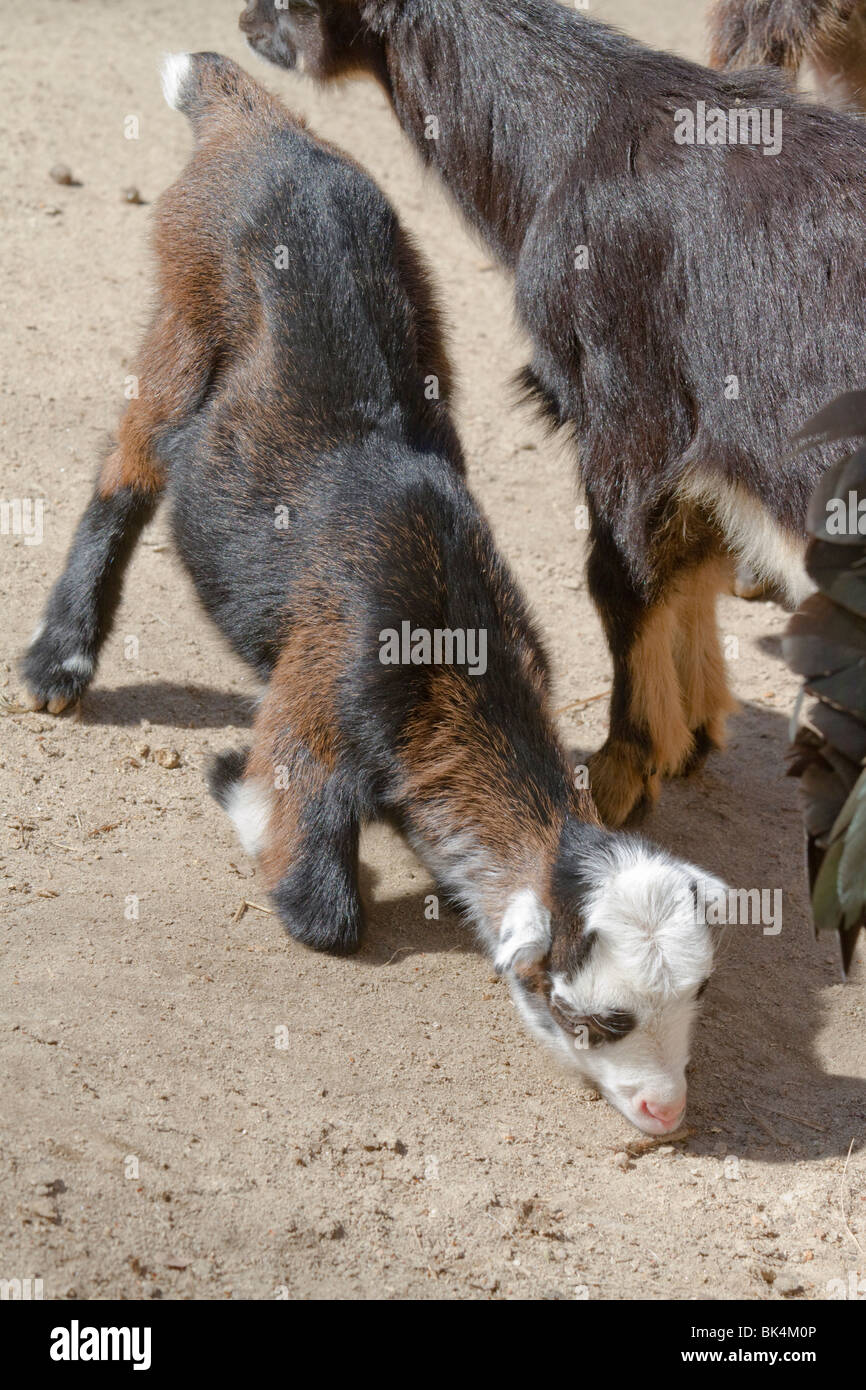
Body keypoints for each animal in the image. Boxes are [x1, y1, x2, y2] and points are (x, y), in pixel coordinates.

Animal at [21, 52, 723, 1134]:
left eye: (694, 997)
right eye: (598, 1017)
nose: (665, 1113)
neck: (444, 648)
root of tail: (258, 125)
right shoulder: (318, 701)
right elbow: (317, 900)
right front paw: (233, 790)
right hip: (178, 320)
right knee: (127, 467)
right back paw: (60, 657)